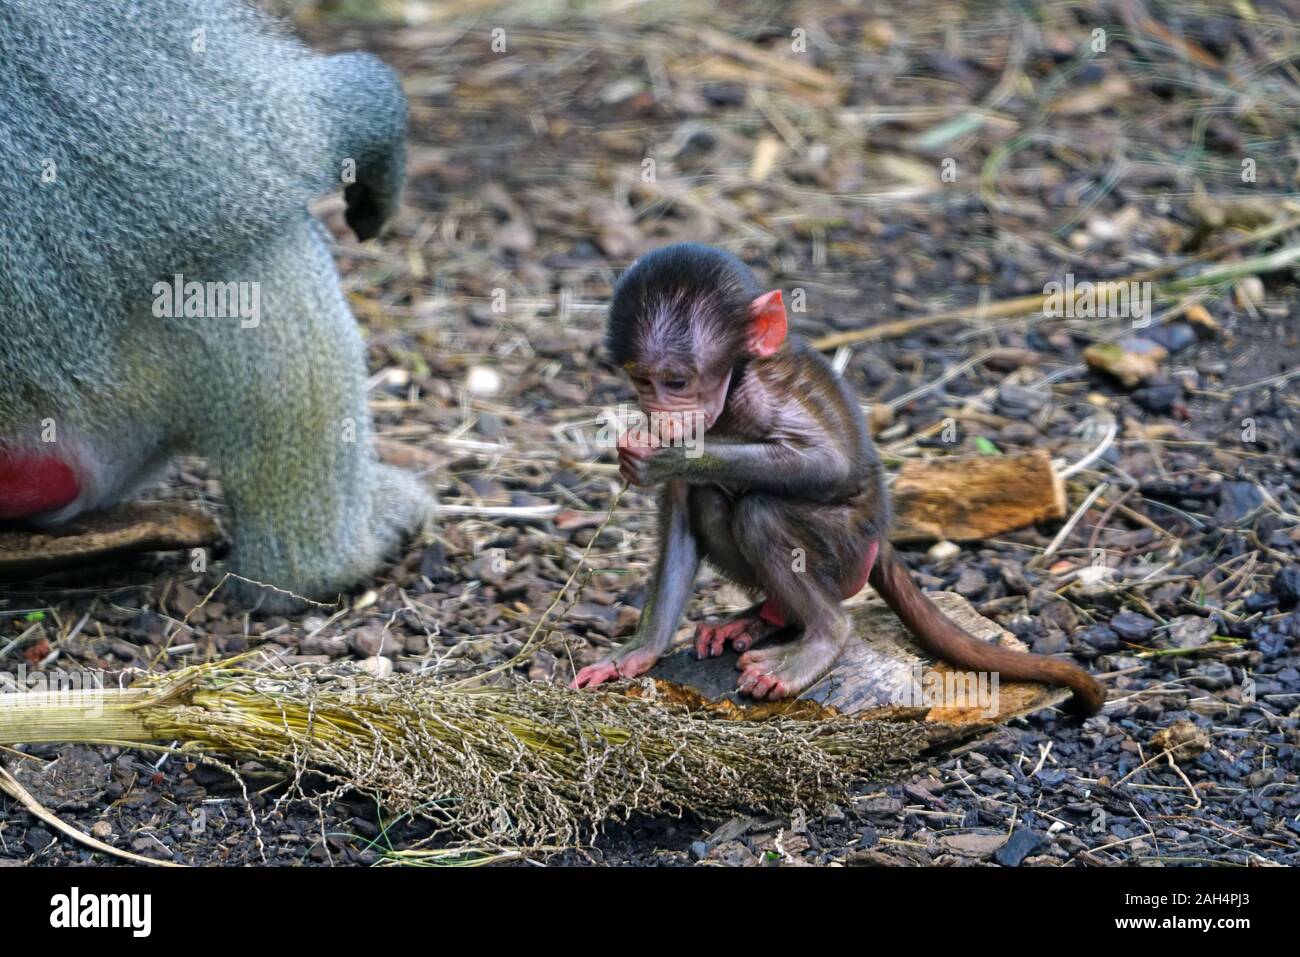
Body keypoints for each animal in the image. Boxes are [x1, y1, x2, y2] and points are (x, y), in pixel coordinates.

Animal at [571, 243, 1105, 715]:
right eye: (643, 382)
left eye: (677, 382)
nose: (660, 416)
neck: (737, 385)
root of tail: (880, 542)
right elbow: (682, 514)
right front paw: (637, 652)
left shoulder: (770, 397)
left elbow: (830, 465)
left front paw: (665, 457)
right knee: (710, 501)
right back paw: (768, 616)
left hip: (848, 555)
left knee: (761, 511)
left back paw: (824, 636)